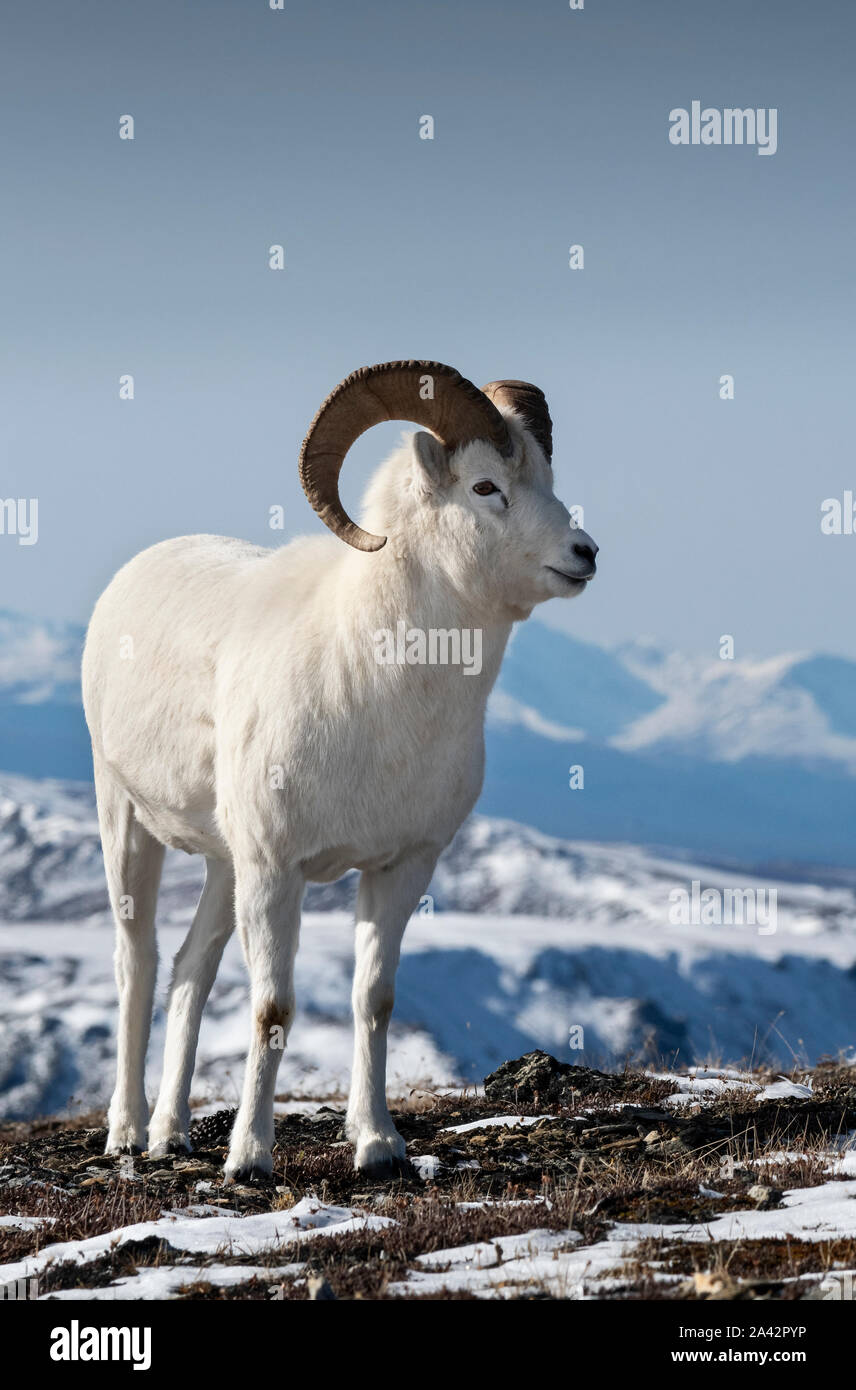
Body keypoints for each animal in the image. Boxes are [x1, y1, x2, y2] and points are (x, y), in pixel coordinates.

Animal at [81, 361, 598, 1179]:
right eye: (485, 486)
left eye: (546, 476)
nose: (584, 553)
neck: (380, 692)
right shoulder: (276, 869)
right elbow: (273, 1008)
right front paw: (250, 1160)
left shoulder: (397, 869)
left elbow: (373, 1001)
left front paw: (378, 1143)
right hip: (128, 822)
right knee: (138, 963)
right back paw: (129, 1133)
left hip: (224, 866)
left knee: (191, 968)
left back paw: (171, 1134)